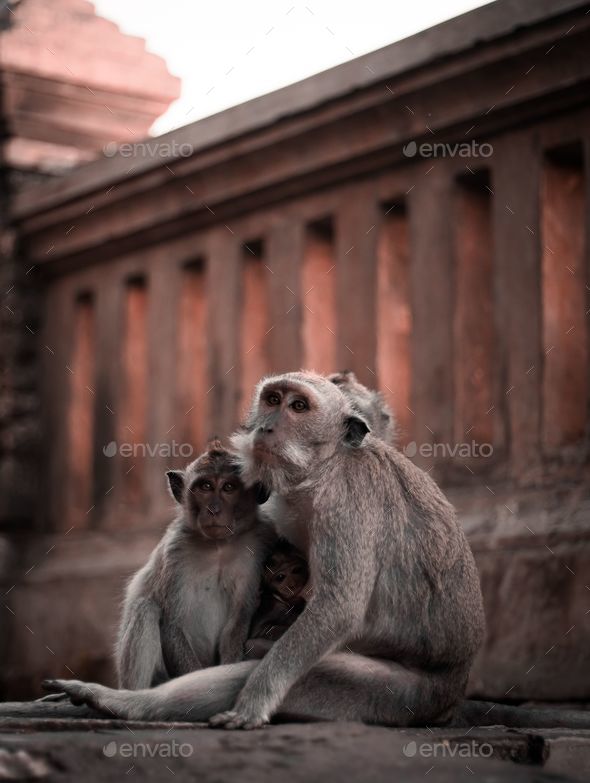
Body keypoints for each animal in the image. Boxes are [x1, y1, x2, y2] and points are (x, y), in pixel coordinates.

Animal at [115, 440, 275, 689]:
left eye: (229, 487)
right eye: (205, 486)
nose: (214, 509)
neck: (218, 546)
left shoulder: (258, 545)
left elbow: (237, 621)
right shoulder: (176, 551)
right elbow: (173, 624)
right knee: (145, 609)